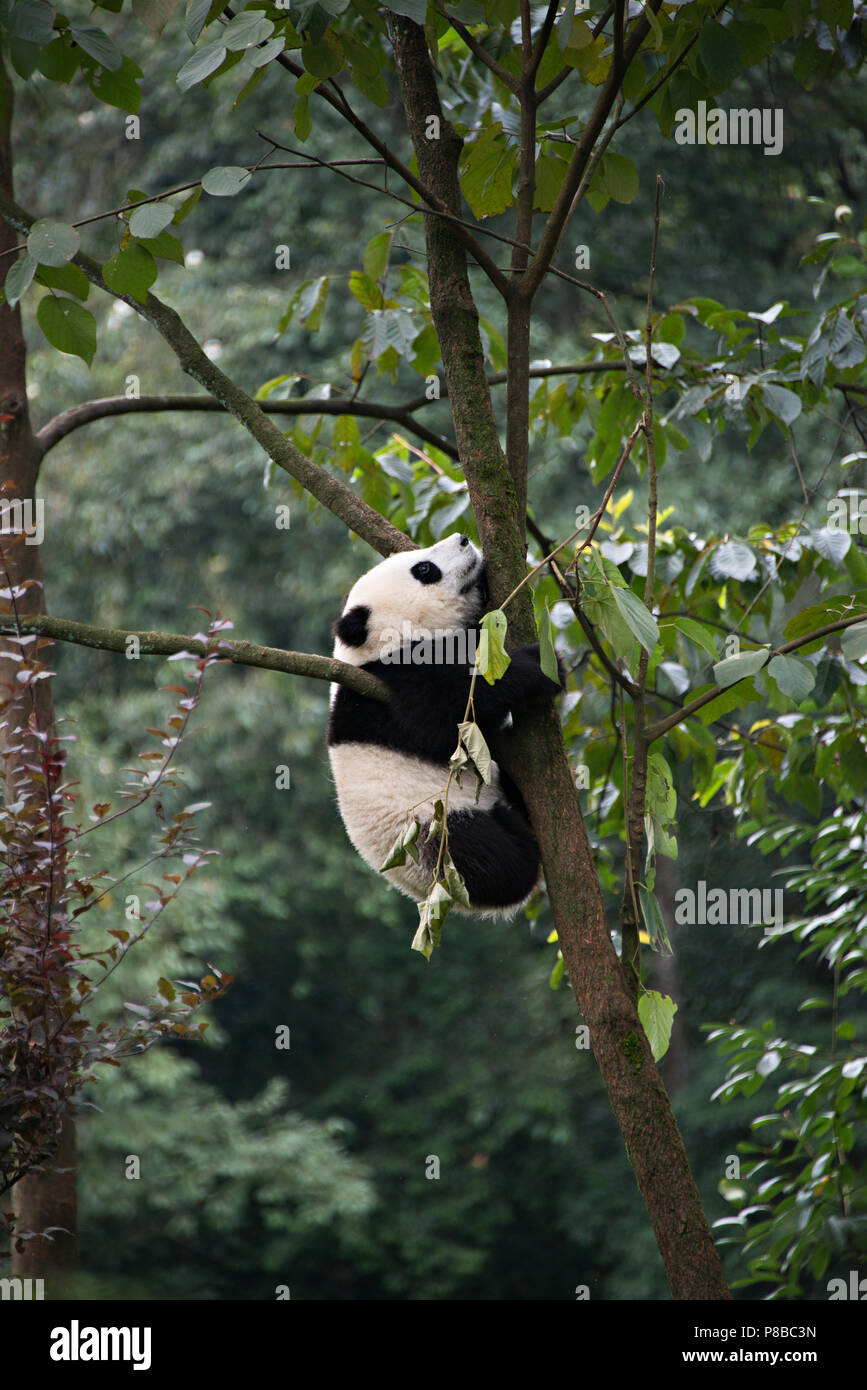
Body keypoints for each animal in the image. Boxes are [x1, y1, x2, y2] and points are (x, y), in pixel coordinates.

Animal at [326, 533, 561, 917]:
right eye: (424, 569)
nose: (463, 539)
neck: (370, 652)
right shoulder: (387, 687)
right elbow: (444, 715)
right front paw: (539, 665)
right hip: (435, 829)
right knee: (494, 862)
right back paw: (518, 836)